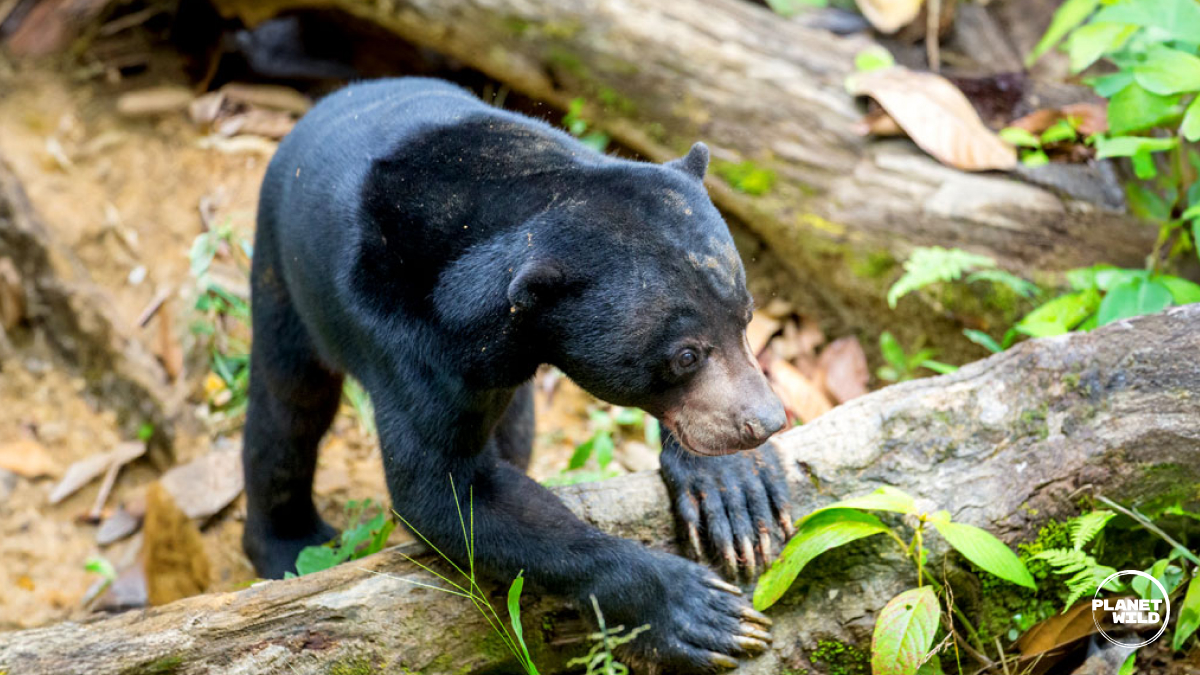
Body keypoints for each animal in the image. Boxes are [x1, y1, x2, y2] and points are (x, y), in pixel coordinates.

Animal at [243, 77, 793, 672]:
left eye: (747, 318)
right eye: (685, 356)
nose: (766, 421)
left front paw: (737, 490)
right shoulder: (412, 347)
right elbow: (445, 493)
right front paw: (699, 612)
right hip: (282, 273)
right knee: (288, 409)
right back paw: (286, 543)